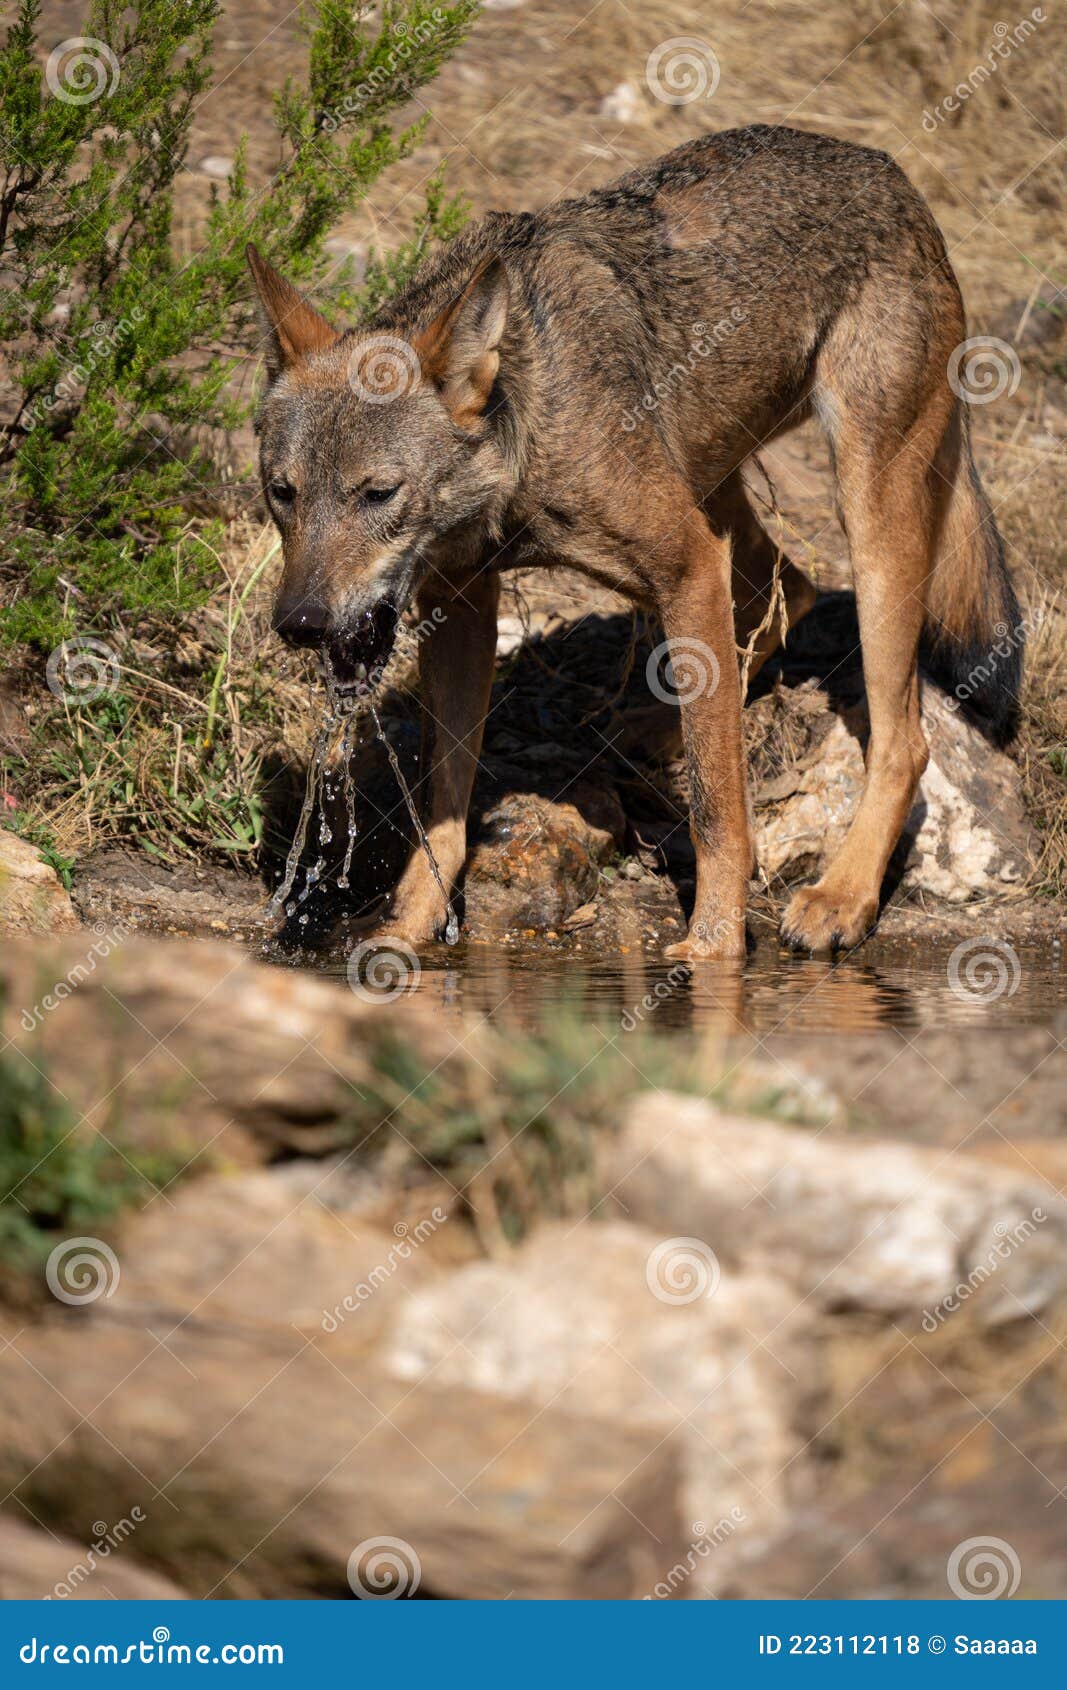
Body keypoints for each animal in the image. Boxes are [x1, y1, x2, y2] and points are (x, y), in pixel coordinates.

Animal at [248, 124, 1021, 959]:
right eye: (282, 493)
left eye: (377, 494)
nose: (299, 623)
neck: (529, 424)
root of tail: (887, 171)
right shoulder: (462, 603)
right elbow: (443, 807)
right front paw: (408, 923)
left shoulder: (680, 564)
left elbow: (717, 812)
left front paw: (714, 947)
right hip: (714, 496)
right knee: (788, 590)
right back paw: (661, 726)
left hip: (864, 513)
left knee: (900, 740)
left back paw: (840, 898)